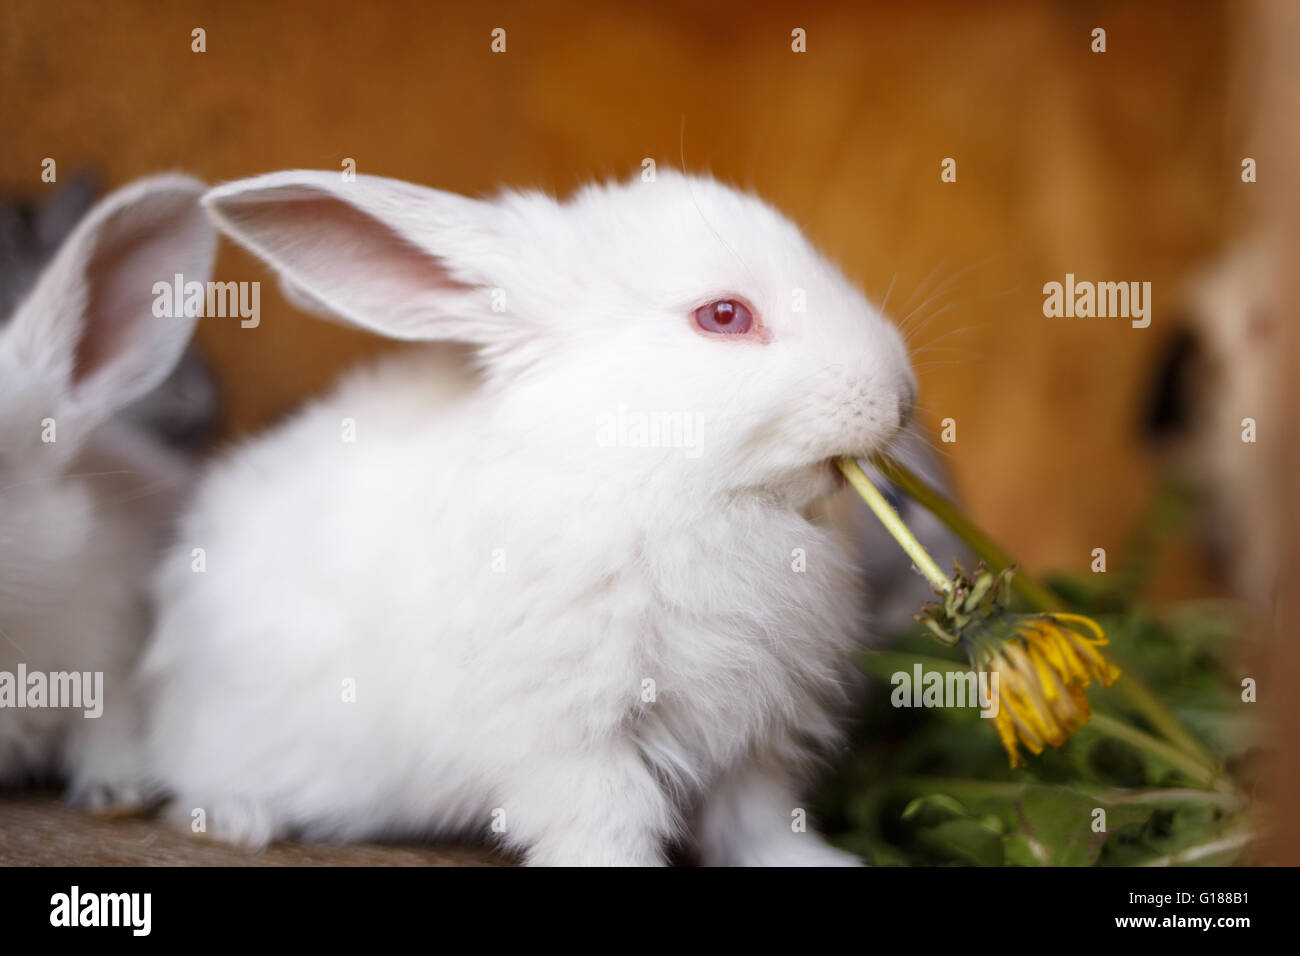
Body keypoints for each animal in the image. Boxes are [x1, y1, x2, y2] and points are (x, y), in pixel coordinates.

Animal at [139, 169, 917, 866]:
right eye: (723, 316)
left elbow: (757, 821)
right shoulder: (570, 736)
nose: (902, 395)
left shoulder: (756, 735)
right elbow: (609, 823)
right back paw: (241, 820)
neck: (652, 476)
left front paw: (819, 863)